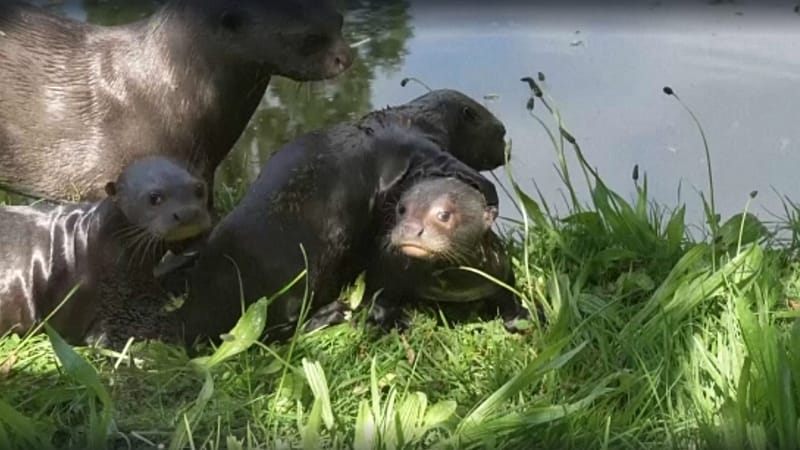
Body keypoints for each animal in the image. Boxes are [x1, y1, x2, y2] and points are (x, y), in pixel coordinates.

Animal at [364, 177, 530, 332]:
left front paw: (518, 318)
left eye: (444, 215)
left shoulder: (500, 271)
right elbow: (377, 295)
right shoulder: (386, 266)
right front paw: (392, 320)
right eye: (401, 209)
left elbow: (509, 294)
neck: (450, 290)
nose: (411, 228)